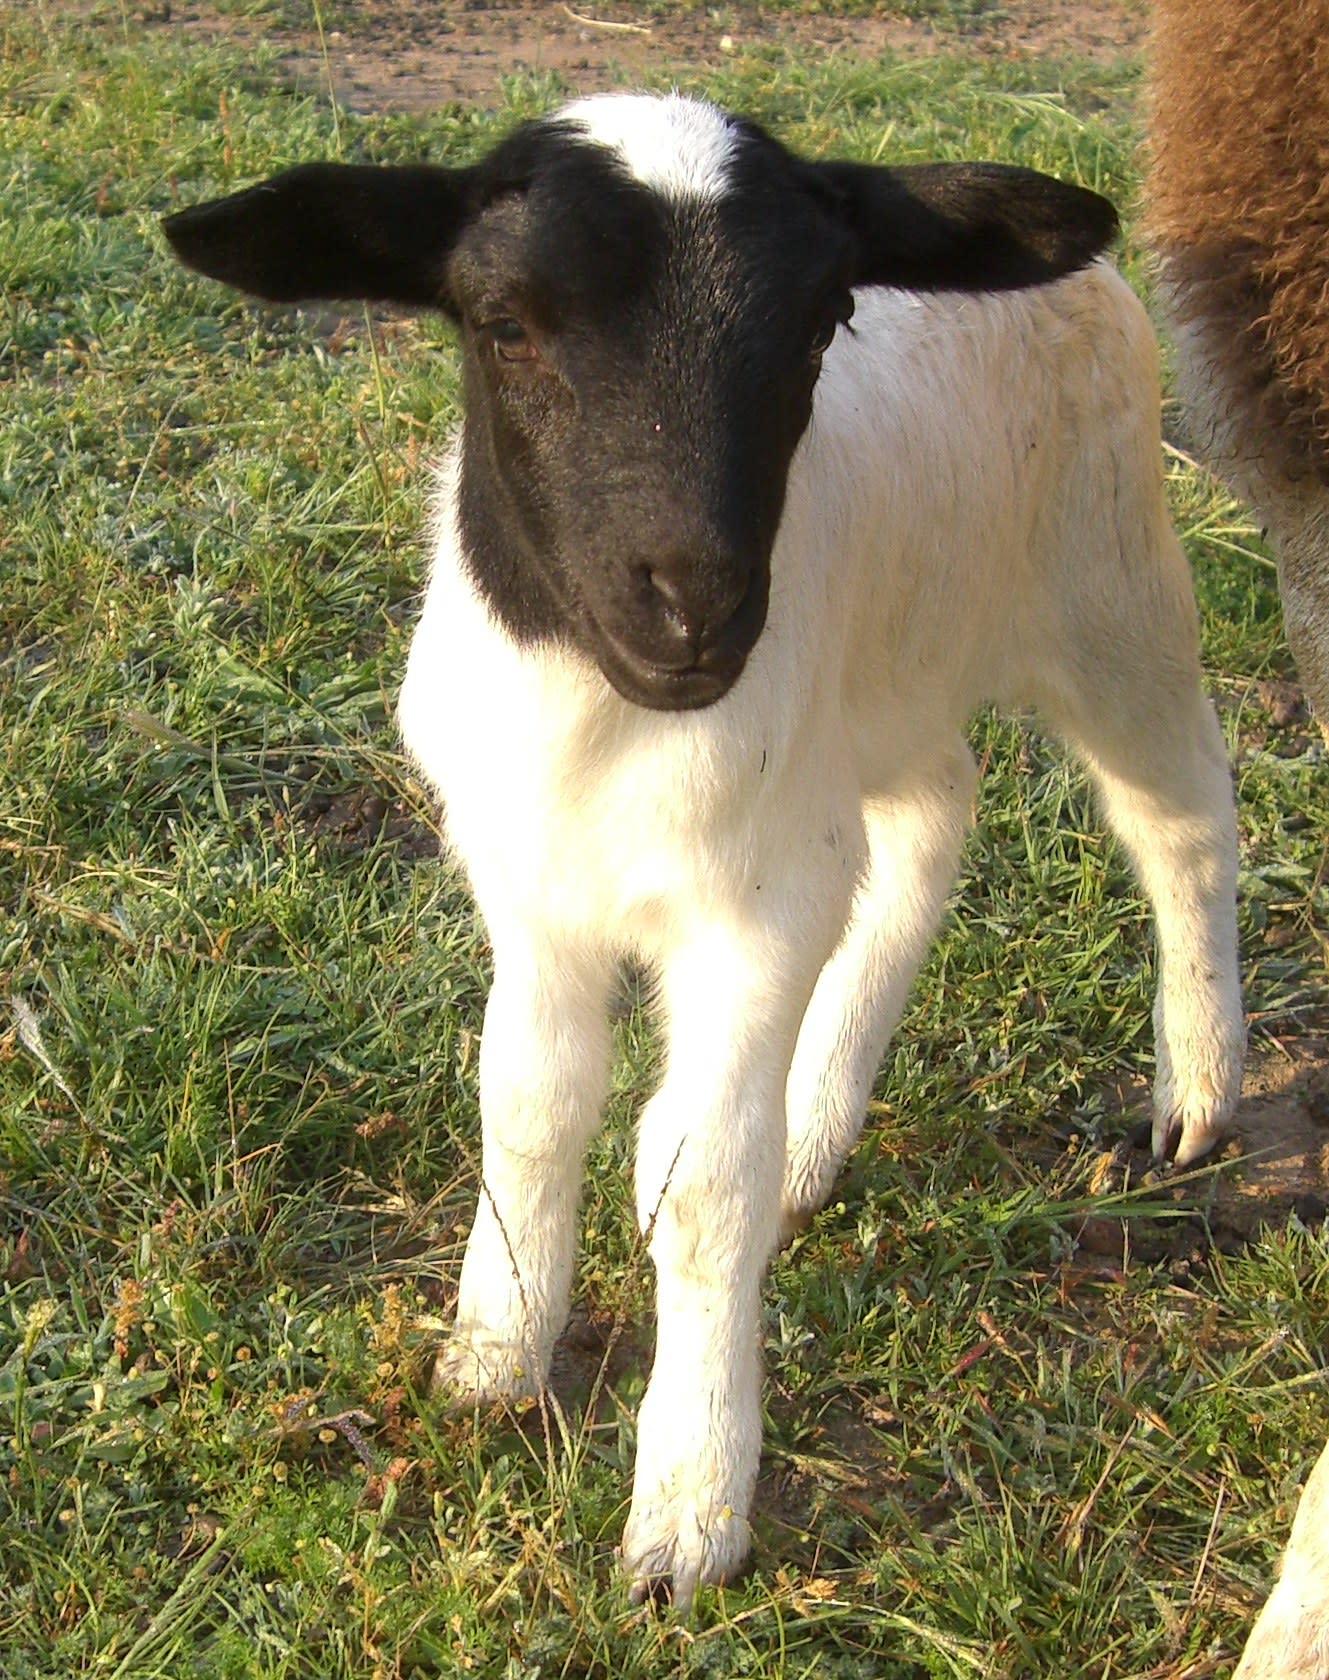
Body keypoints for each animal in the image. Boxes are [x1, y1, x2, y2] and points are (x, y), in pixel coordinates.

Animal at [163, 91, 1246, 1606]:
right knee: (932, 822)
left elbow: (702, 1186)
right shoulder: (531, 886)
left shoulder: (754, 913)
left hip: (1113, 582)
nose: (696, 609)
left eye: (824, 319)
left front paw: (685, 1510)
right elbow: (528, 1104)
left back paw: (1196, 1087)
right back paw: (820, 1127)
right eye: (503, 323)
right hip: (885, 693)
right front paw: (493, 1353)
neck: (608, 720)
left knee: (1181, 817)